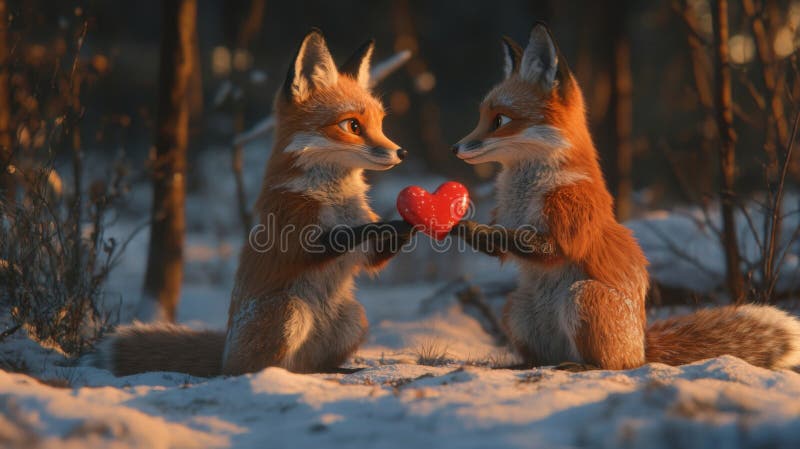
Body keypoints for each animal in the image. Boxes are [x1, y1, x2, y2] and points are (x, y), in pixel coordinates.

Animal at [92, 30, 414, 376]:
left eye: (380, 124)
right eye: (352, 126)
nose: (402, 152)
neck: (335, 199)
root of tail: (224, 351)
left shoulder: (364, 251)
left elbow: (375, 253)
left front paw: (415, 220)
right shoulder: (292, 229)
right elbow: (348, 233)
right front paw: (388, 223)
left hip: (354, 318)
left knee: (313, 365)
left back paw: (336, 372)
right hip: (289, 311)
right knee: (256, 368)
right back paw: (271, 378)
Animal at [450, 22, 800, 371]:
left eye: (500, 121)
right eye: (482, 118)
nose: (455, 148)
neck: (527, 191)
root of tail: (642, 348)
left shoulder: (571, 217)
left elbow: (539, 243)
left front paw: (467, 226)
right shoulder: (507, 218)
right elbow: (500, 244)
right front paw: (456, 226)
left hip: (583, 297)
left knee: (609, 365)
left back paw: (583, 366)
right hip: (515, 308)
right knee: (544, 357)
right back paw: (526, 365)